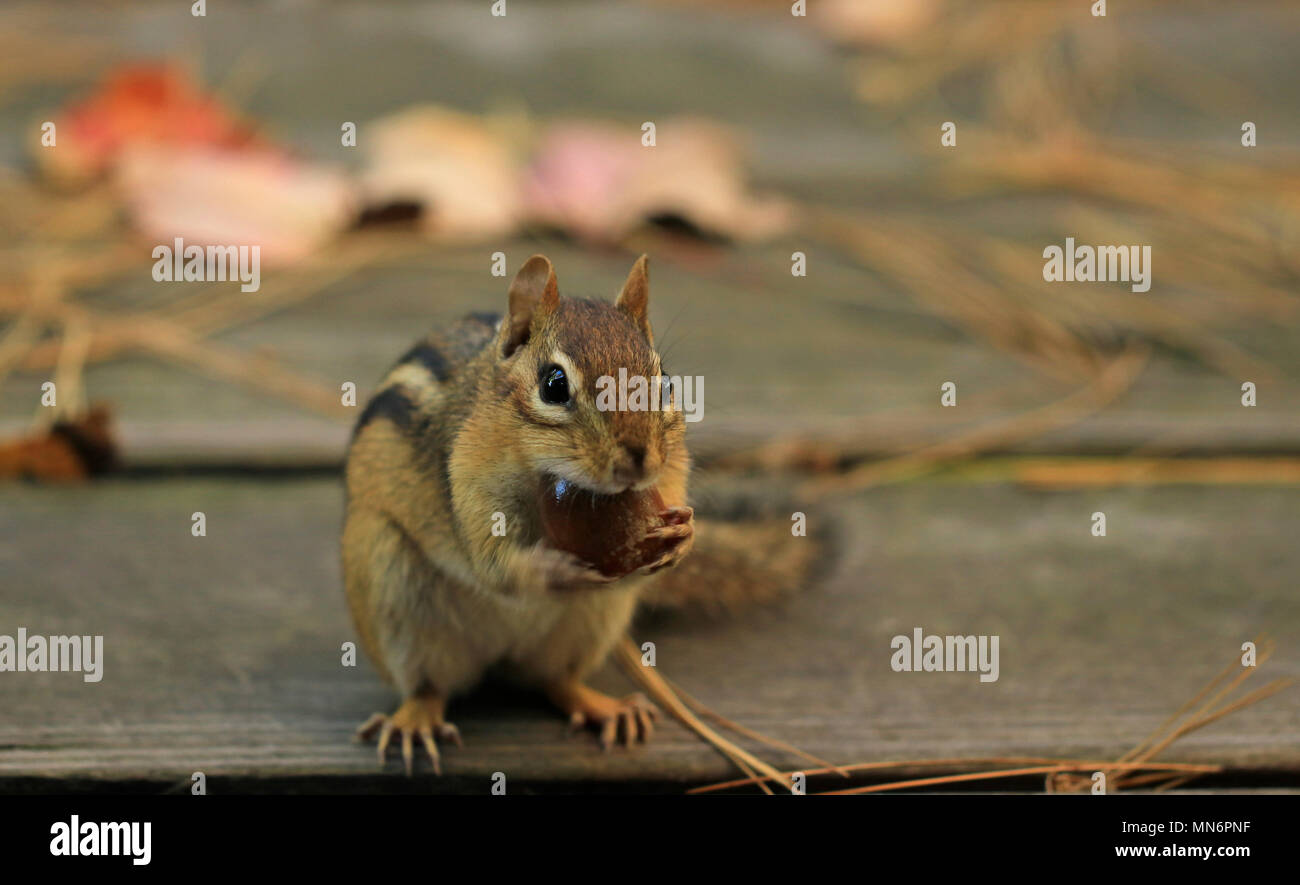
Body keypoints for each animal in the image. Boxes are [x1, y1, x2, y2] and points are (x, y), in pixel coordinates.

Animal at [342, 254, 696, 774]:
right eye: (554, 385)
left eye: (666, 382)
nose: (638, 461)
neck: (541, 472)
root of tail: (501, 656)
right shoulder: (469, 486)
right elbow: (496, 567)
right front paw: (555, 570)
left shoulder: (669, 472)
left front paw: (683, 536)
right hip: (391, 583)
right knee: (428, 685)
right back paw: (415, 720)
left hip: (595, 620)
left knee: (556, 681)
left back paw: (602, 707)